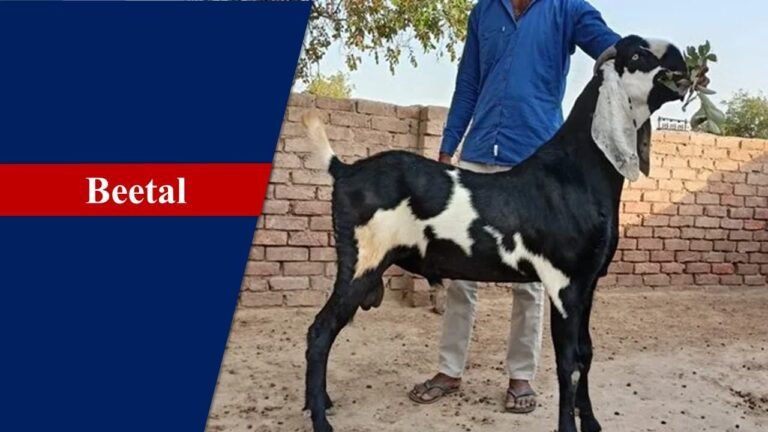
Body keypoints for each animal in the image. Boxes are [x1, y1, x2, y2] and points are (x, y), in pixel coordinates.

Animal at [302, 35, 689, 432]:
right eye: (638, 55)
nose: (681, 56)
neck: (574, 173)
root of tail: (344, 170)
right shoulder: (563, 284)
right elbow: (569, 363)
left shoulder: (588, 284)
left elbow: (587, 353)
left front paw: (593, 423)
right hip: (362, 262)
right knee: (320, 331)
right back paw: (320, 418)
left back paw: (323, 403)